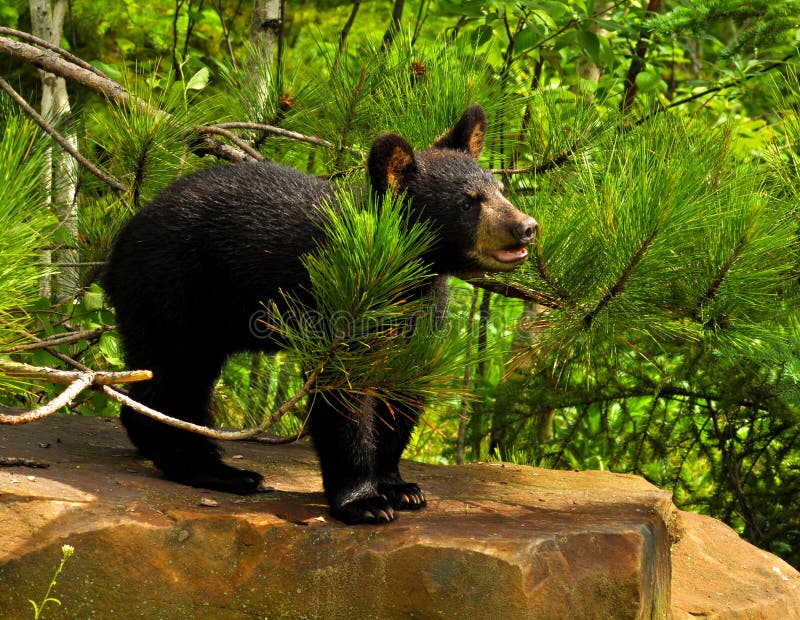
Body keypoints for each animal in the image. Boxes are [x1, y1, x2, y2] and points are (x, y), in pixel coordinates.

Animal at [103, 105, 537, 524]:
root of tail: (120, 240)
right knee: (175, 376)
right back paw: (217, 471)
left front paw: (400, 485)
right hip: (173, 290)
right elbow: (341, 398)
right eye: (468, 202)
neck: (398, 269)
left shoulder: (420, 312)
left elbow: (403, 386)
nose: (527, 227)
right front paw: (364, 501)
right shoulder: (336, 308)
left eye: (500, 190)